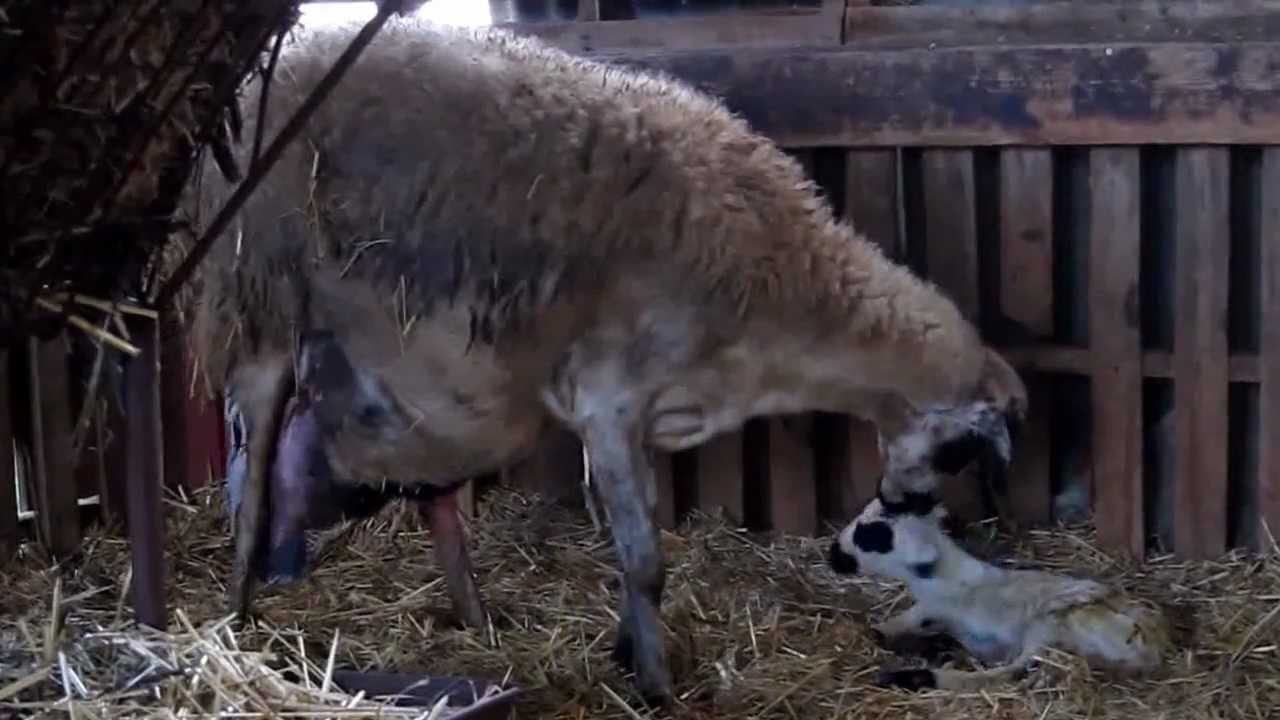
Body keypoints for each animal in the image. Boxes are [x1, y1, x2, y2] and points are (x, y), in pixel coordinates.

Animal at [175, 18, 1028, 705]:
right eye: (961, 447)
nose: (900, 500)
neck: (780, 292)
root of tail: (257, 83)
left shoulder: (644, 415)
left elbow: (632, 535)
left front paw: (628, 651)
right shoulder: (609, 399)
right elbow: (644, 557)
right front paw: (655, 687)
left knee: (415, 490)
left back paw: (474, 621)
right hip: (260, 306)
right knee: (250, 482)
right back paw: (238, 615)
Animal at [828, 493, 1173, 692]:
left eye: (871, 535)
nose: (833, 554)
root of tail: (1152, 652)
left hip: (1057, 626)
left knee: (1013, 672)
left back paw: (912, 678)